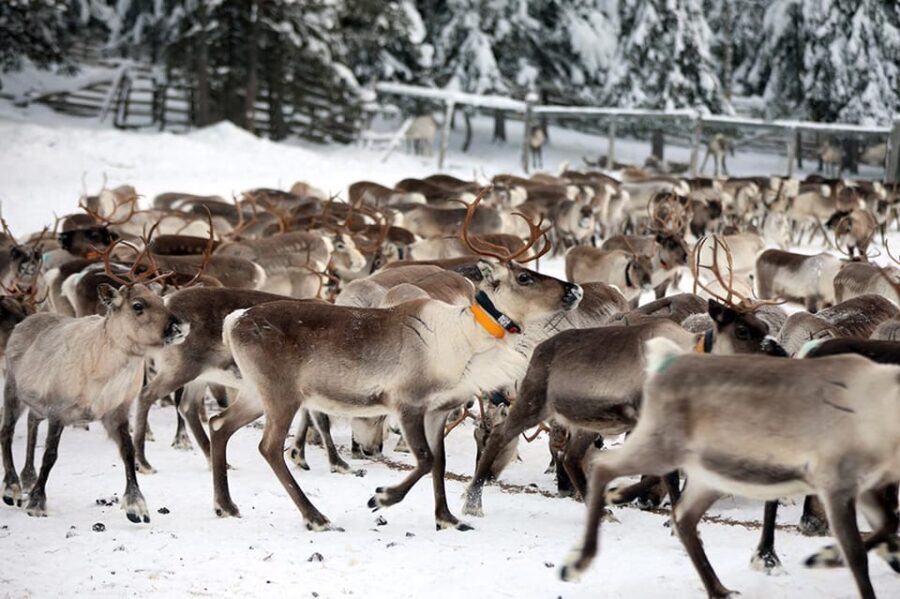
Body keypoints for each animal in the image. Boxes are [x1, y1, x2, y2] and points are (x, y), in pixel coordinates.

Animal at [1, 241, 188, 522]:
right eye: (138, 305)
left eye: (161, 299)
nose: (180, 327)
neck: (104, 374)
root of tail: (25, 320)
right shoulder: (58, 410)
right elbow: (50, 455)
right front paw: (37, 502)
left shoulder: (117, 411)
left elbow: (128, 452)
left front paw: (136, 505)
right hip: (12, 388)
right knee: (7, 431)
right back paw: (11, 487)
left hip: (36, 402)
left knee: (32, 423)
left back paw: (28, 477)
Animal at [210, 191, 582, 531]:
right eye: (524, 278)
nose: (574, 290)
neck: (465, 341)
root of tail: (233, 321)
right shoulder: (407, 402)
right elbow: (425, 460)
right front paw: (381, 497)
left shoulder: (437, 410)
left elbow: (439, 461)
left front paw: (446, 518)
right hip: (282, 394)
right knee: (269, 446)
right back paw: (316, 517)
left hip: (255, 392)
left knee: (219, 425)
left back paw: (225, 505)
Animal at [560, 343, 900, 599]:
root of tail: (664, 365)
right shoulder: (834, 481)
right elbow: (857, 555)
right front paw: (829, 557)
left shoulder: (865, 485)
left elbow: (888, 523)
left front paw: (827, 556)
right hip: (660, 445)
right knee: (604, 467)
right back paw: (577, 560)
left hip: (709, 475)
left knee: (683, 517)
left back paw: (719, 589)